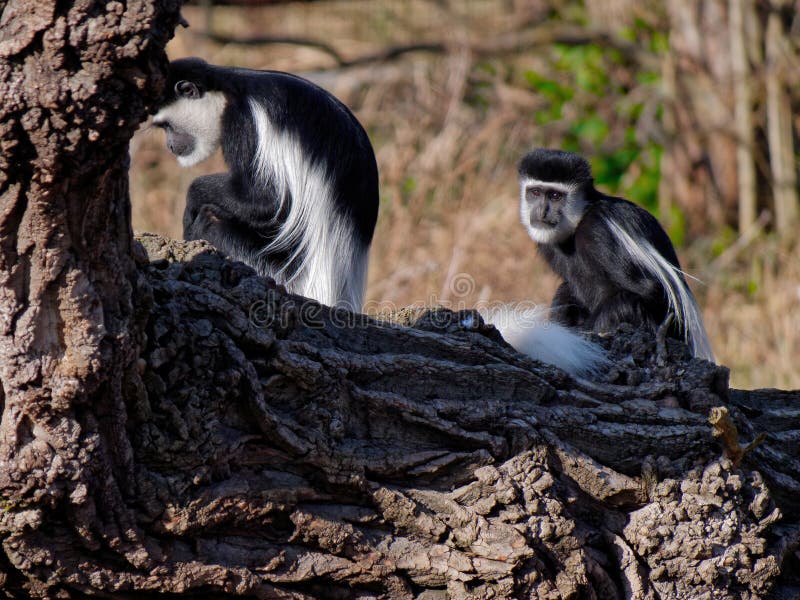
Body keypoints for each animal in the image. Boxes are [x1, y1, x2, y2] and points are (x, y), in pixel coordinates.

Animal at [152, 58, 379, 311]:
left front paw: (193, 197)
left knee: (212, 219)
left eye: (167, 125)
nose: (170, 146)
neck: (227, 92)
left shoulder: (245, 122)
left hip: (277, 269)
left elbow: (264, 201)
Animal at [516, 148, 714, 361]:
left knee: (624, 303)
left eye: (555, 196)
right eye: (535, 192)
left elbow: (648, 289)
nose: (542, 212)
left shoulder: (599, 231)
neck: (580, 219)